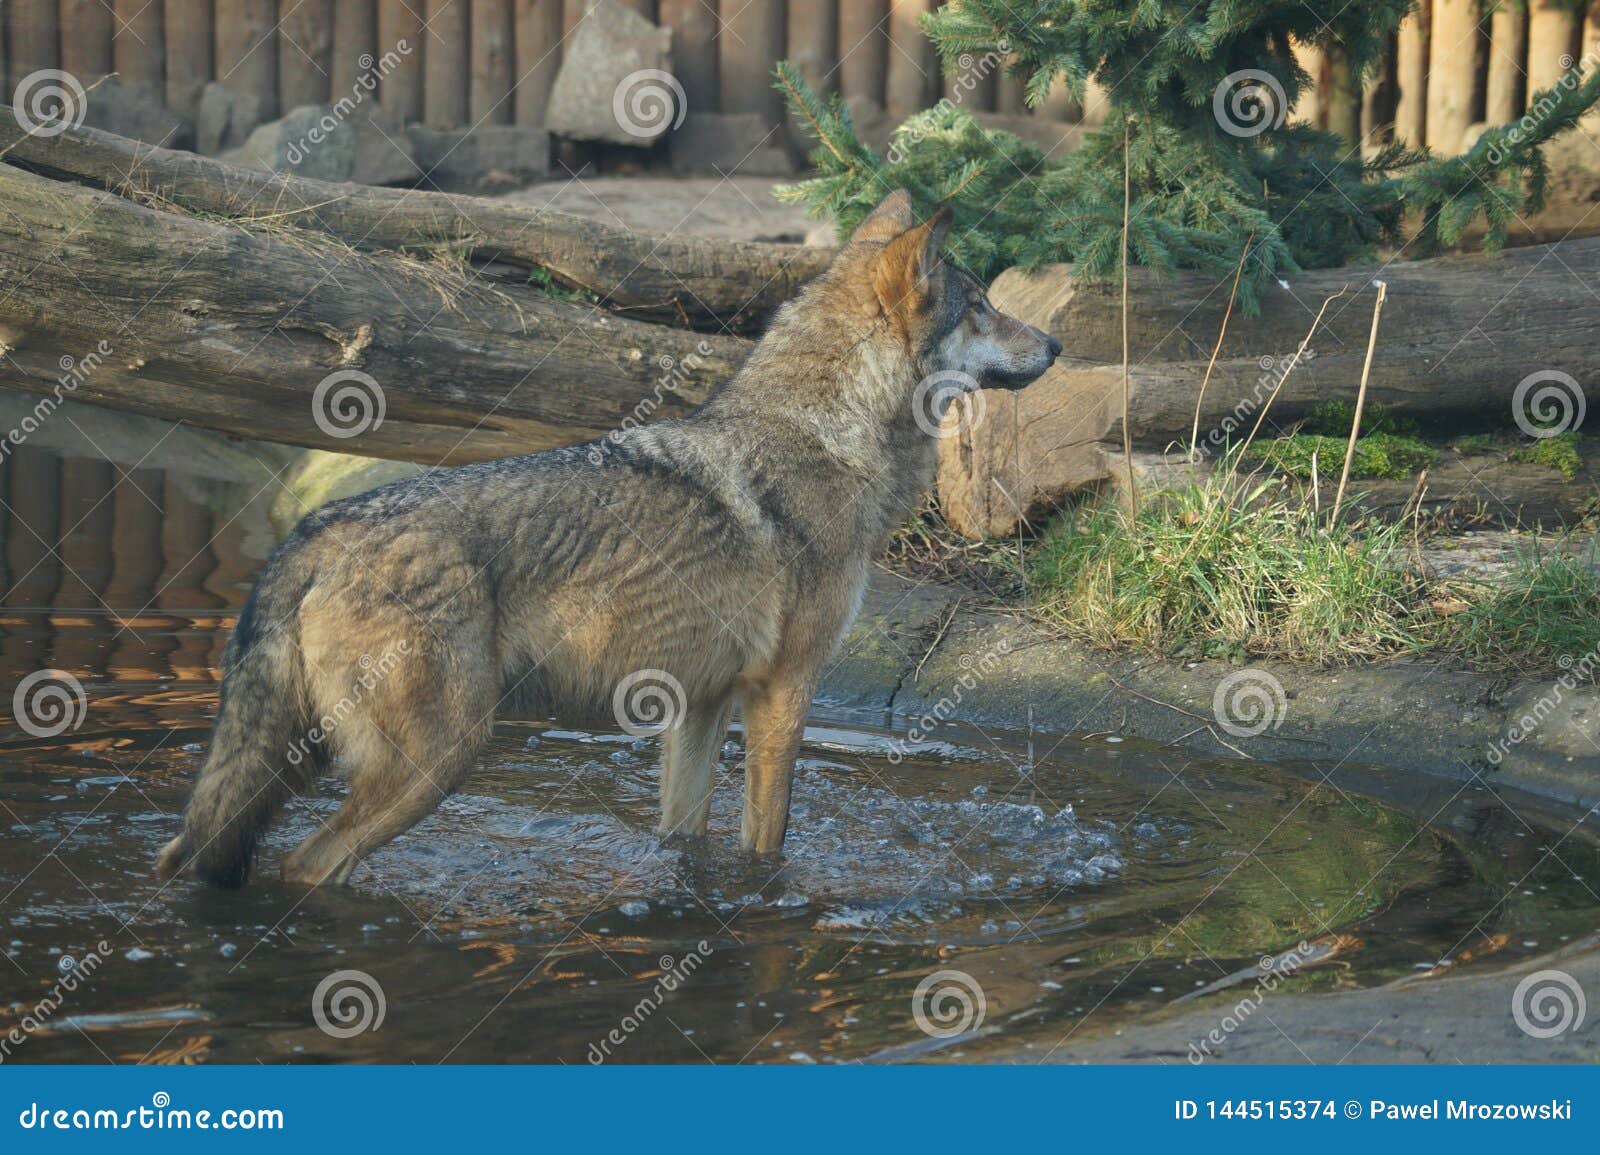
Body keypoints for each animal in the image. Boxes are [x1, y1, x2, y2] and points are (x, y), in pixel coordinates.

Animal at [155, 189, 1060, 888]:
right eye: (981, 306)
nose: (1055, 344)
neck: (827, 437)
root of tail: (314, 532)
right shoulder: (782, 694)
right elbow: (767, 845)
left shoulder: (701, 705)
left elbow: (683, 835)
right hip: (437, 761)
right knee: (307, 863)